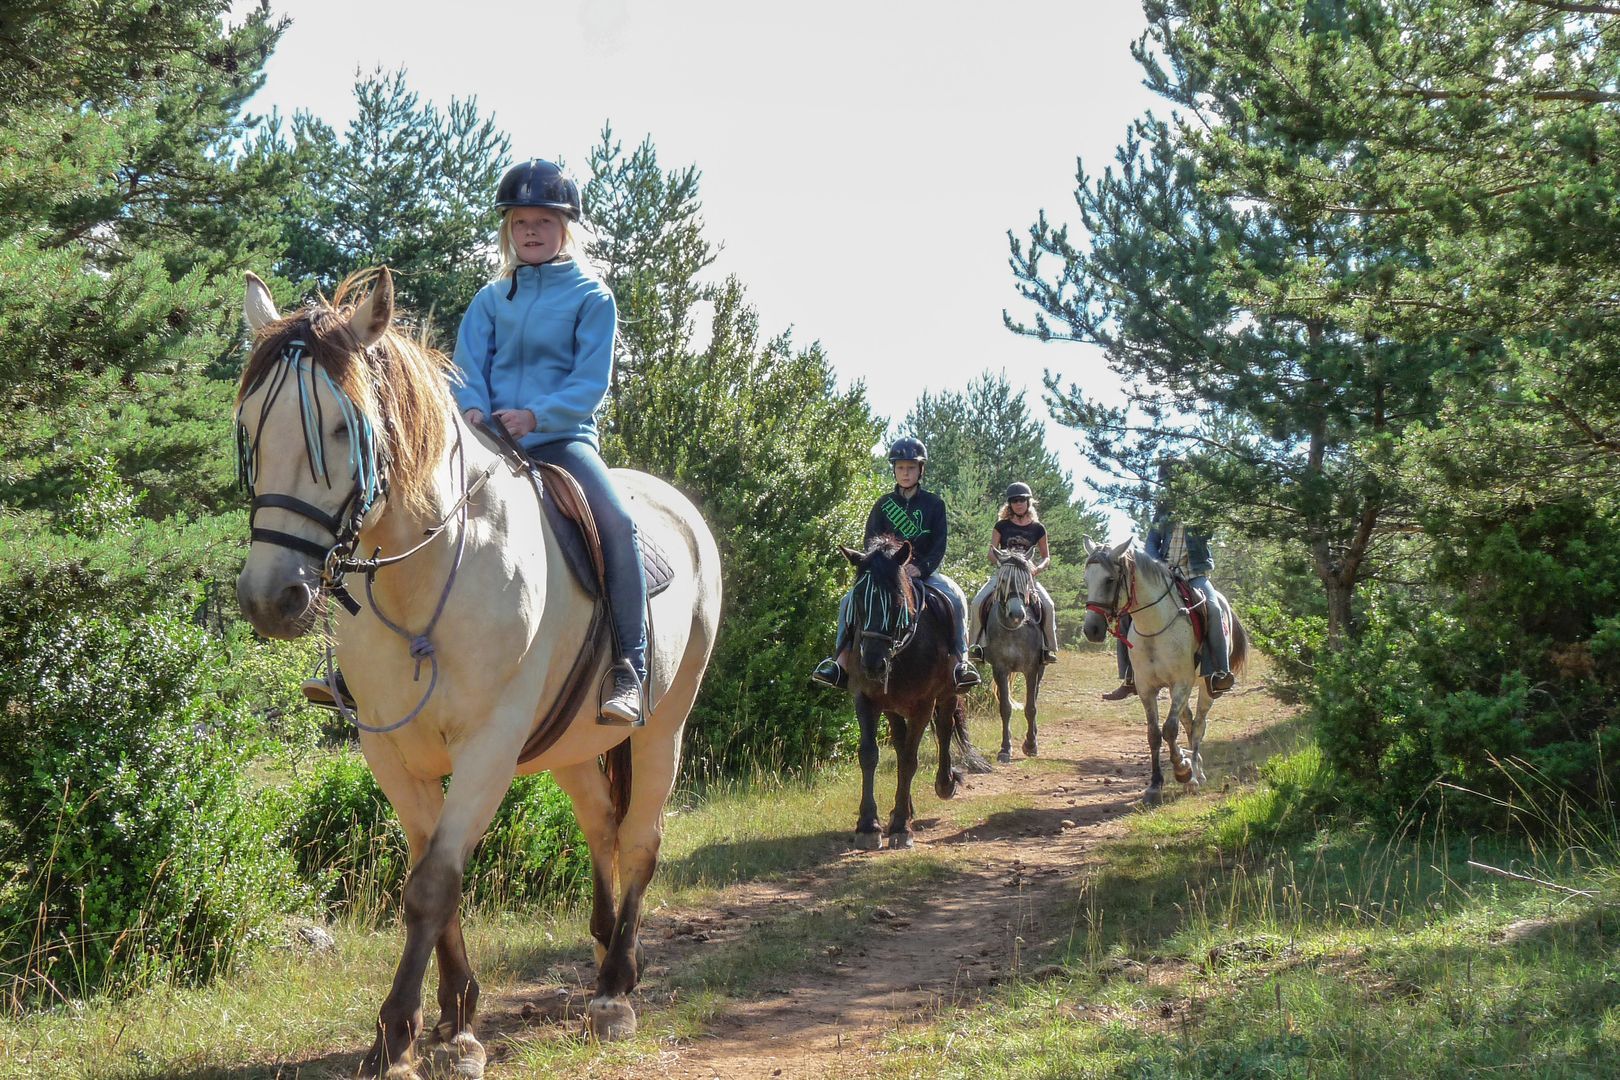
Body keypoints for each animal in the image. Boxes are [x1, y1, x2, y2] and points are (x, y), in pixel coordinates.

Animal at [232, 269, 722, 1078]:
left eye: (342, 430)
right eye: (249, 429)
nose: (271, 597)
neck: (426, 582)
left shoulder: (488, 748)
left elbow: (434, 883)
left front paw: (404, 1032)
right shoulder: (389, 751)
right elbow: (431, 871)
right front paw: (453, 1013)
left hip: (664, 730)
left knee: (641, 838)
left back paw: (616, 989)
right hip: (571, 745)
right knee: (601, 825)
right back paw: (605, 952)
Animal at [838, 537, 974, 849]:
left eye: (898, 601)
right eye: (858, 600)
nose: (873, 664)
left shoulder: (922, 705)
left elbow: (911, 760)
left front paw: (901, 827)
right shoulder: (866, 700)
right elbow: (870, 755)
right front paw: (869, 825)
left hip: (947, 695)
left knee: (944, 730)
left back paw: (944, 784)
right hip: (893, 707)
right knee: (900, 744)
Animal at [978, 547, 1047, 763]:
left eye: (1027, 580)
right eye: (1002, 580)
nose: (1017, 614)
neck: (1014, 630)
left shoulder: (1032, 669)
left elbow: (1031, 707)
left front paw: (1031, 746)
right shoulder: (1000, 669)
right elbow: (1005, 708)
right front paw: (1005, 749)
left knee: (1035, 698)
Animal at [1080, 537, 1248, 805]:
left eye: (1109, 579)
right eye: (1087, 579)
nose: (1091, 630)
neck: (1154, 628)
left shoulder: (1181, 683)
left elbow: (1170, 729)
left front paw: (1182, 770)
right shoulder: (1146, 688)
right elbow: (1154, 734)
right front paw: (1154, 785)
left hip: (1205, 688)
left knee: (1198, 724)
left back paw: (1196, 775)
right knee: (1188, 721)